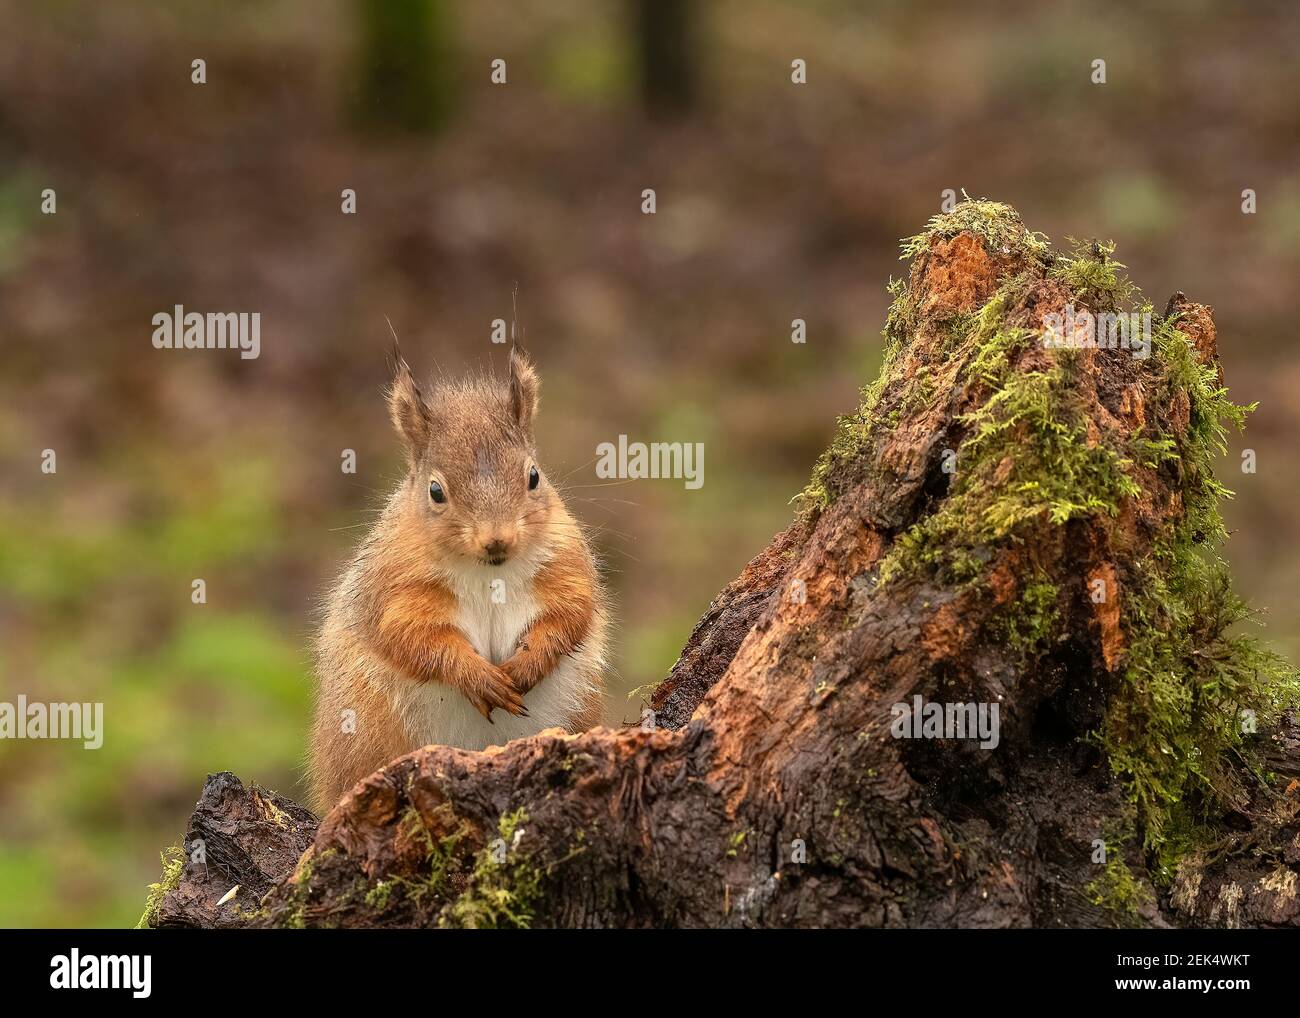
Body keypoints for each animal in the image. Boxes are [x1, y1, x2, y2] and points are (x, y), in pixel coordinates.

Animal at [308, 343, 609, 813]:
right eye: (435, 491)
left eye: (534, 477)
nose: (496, 540)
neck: (489, 574)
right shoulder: (396, 587)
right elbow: (415, 640)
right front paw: (479, 677)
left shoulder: (566, 565)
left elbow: (571, 615)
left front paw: (527, 664)